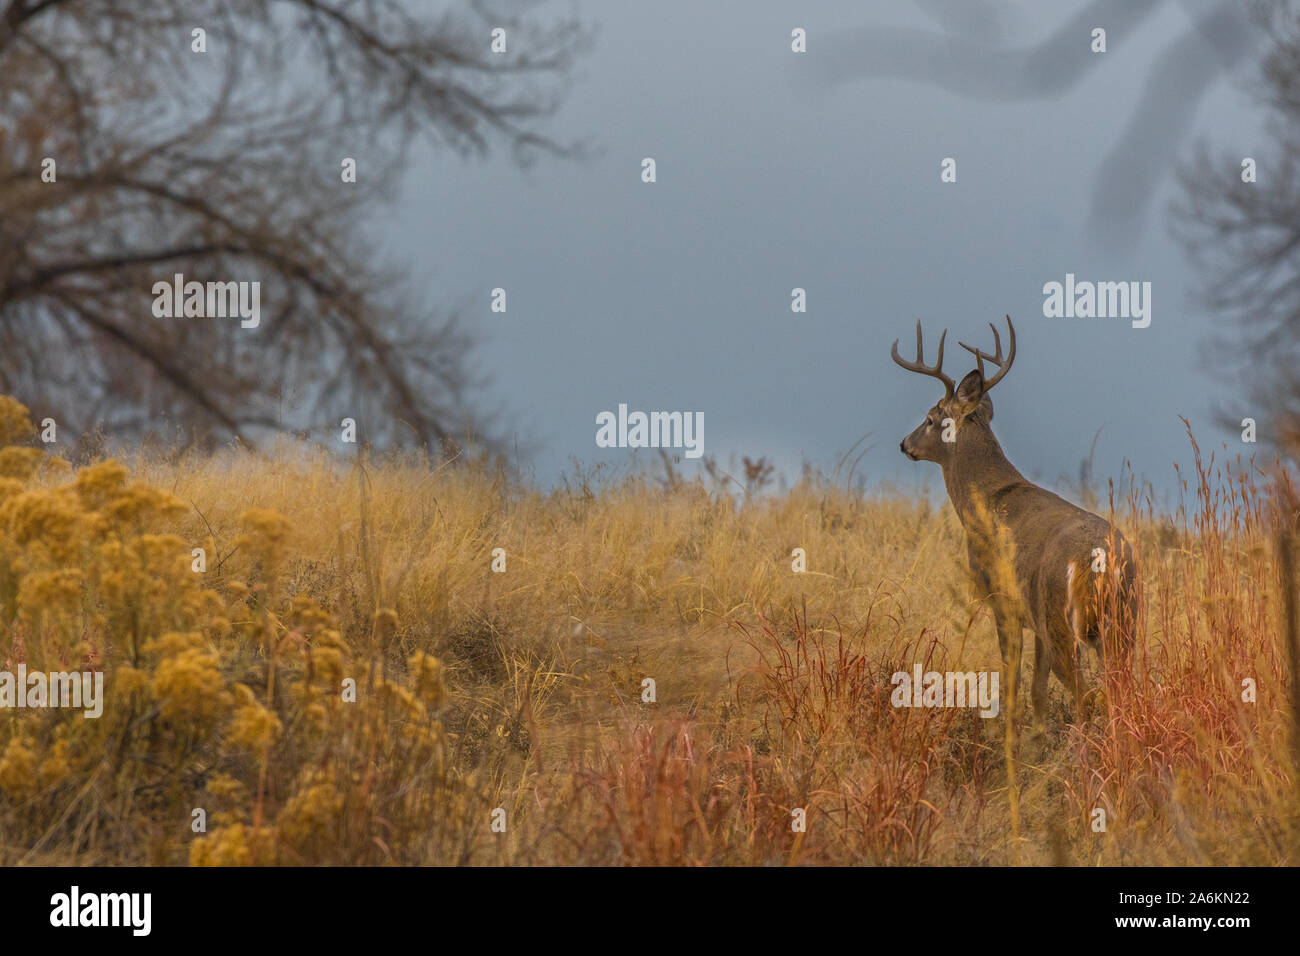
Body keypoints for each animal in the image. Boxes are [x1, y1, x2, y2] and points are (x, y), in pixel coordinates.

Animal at [891, 315, 1138, 722]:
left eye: (929, 418)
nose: (904, 444)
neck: (986, 499)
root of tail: (1104, 561)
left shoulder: (1003, 601)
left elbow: (1011, 683)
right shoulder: (1032, 622)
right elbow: (1037, 691)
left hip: (1062, 620)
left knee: (1086, 693)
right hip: (1124, 622)